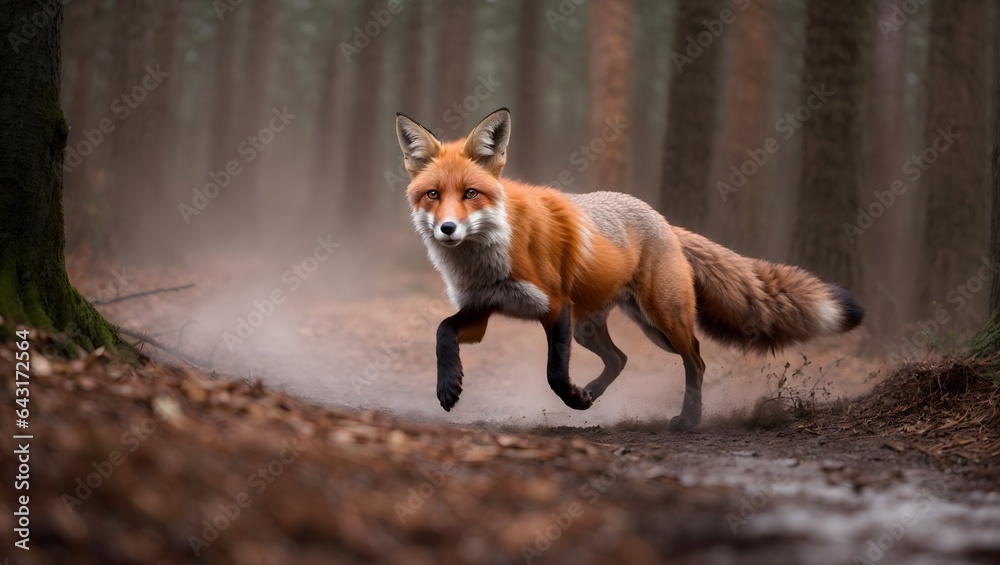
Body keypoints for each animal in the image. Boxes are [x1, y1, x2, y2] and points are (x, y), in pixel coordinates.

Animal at [395, 107, 864, 431]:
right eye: (433, 195)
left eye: (470, 193)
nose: (448, 229)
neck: (488, 257)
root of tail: (664, 221)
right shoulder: (481, 309)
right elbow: (442, 331)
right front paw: (447, 386)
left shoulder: (555, 307)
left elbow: (553, 372)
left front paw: (572, 399)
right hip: (595, 328)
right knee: (621, 359)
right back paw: (596, 394)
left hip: (662, 322)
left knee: (696, 359)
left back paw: (688, 420)